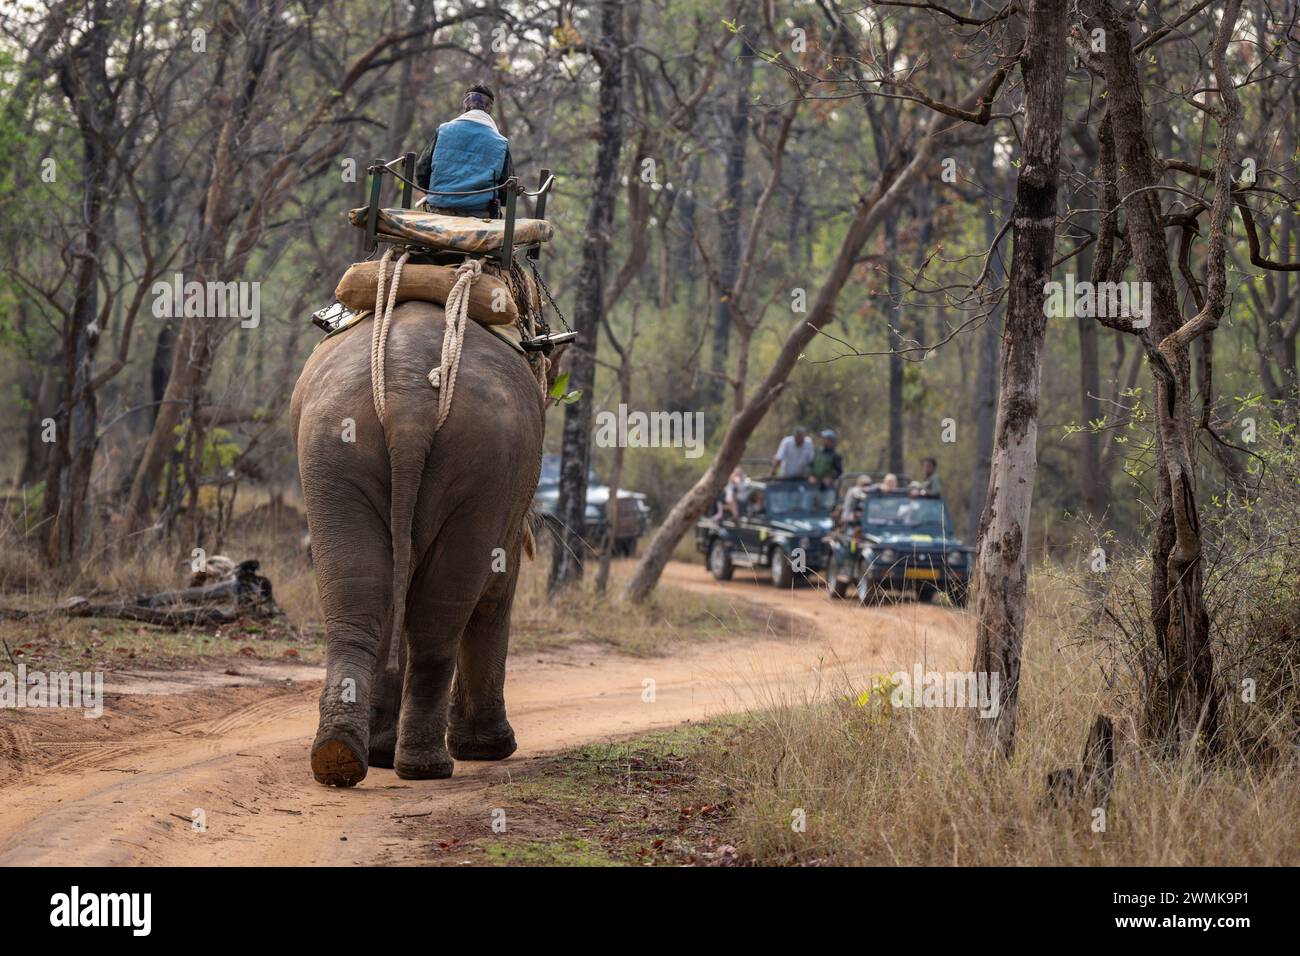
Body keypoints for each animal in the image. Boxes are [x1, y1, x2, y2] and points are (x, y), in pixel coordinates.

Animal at [291, 298, 545, 786]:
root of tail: (409, 399)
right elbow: (495, 589)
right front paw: (487, 750)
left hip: (332, 449)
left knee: (360, 593)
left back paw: (343, 755)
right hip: (485, 465)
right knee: (440, 610)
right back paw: (427, 766)